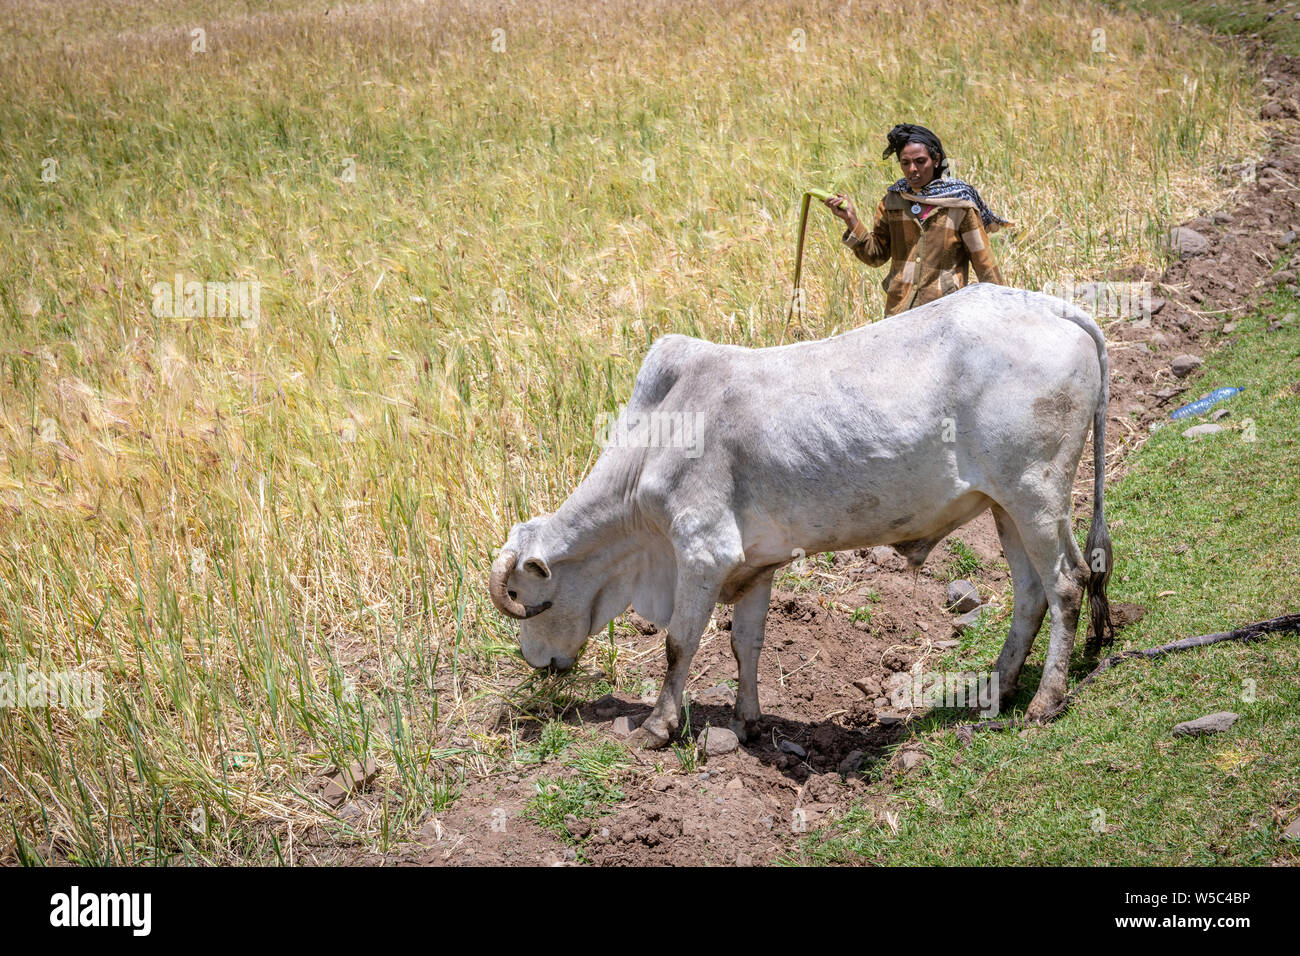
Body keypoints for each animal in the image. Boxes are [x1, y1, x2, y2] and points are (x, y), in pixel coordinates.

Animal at [489, 282, 1114, 749]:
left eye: (525, 599)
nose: (537, 663)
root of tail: (1054, 307)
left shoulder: (701, 552)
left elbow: (679, 643)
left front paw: (657, 727)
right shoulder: (754, 567)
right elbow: (745, 644)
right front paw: (746, 722)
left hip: (1036, 493)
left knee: (1067, 583)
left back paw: (1044, 702)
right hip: (1006, 506)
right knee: (1030, 593)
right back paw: (999, 690)